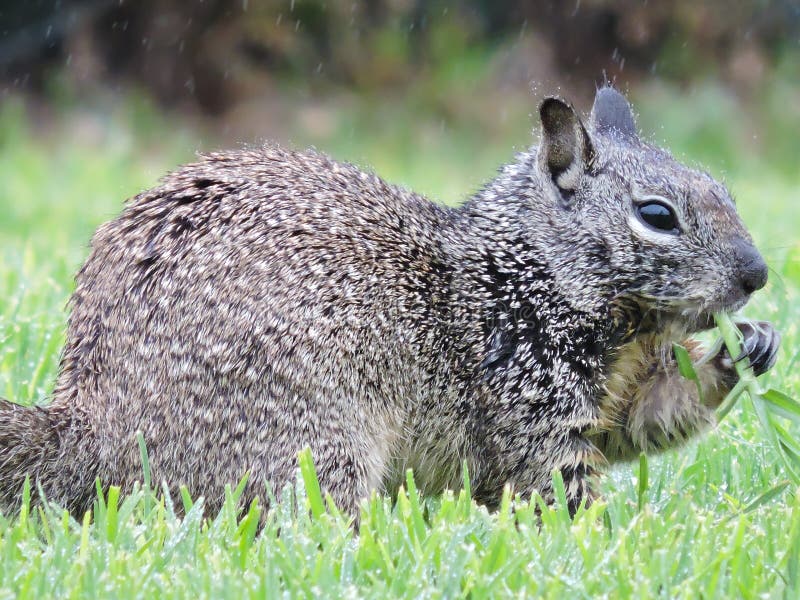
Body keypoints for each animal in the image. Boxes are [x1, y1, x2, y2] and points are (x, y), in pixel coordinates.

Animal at [0, 87, 780, 517]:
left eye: (724, 187)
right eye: (656, 215)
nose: (758, 273)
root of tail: (94, 424)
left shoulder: (619, 392)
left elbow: (646, 421)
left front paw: (748, 349)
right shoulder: (526, 391)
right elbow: (556, 486)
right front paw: (602, 540)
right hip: (311, 435)